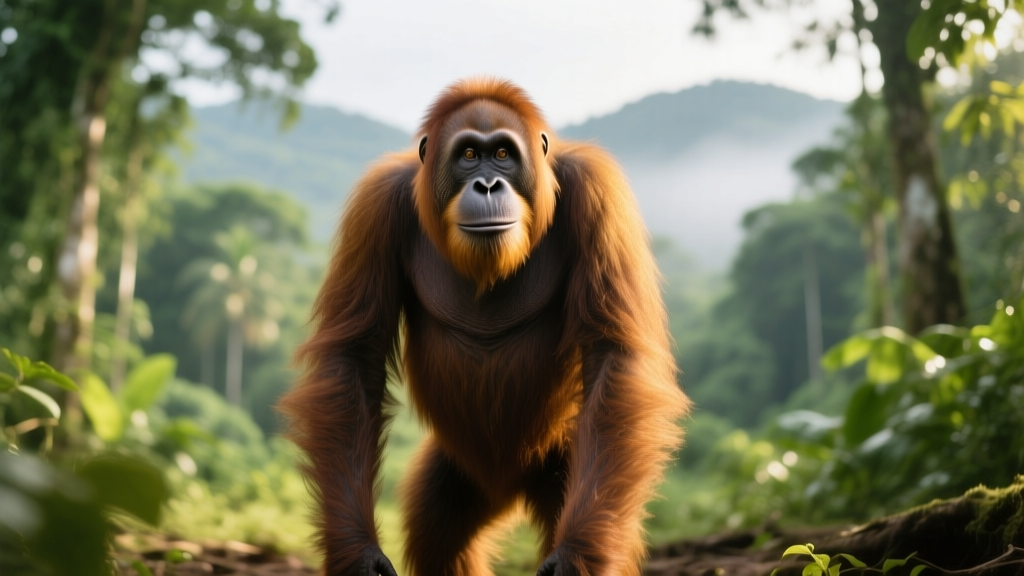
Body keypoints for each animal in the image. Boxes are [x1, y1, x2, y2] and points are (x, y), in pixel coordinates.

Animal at [278, 77, 690, 576]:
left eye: (503, 154)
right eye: (470, 155)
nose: (489, 184)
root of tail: (504, 487)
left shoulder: (597, 191)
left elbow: (613, 352)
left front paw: (572, 559)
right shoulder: (376, 204)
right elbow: (354, 356)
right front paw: (359, 553)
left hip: (567, 460)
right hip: (460, 468)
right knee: (439, 532)